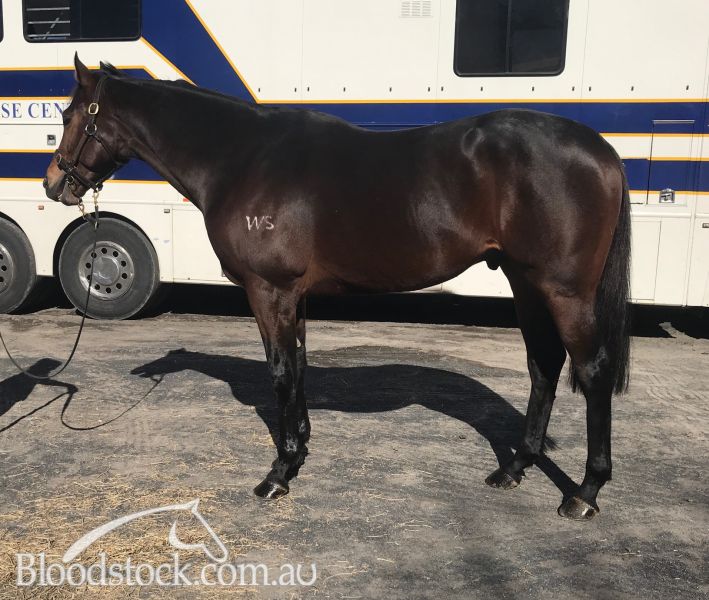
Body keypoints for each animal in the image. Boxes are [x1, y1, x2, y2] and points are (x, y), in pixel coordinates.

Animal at [44, 55, 631, 520]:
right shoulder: (294, 295)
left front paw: (278, 473)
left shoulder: (270, 290)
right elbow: (299, 367)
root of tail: (601, 152)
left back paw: (585, 492)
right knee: (543, 366)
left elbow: (281, 373)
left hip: (564, 291)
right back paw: (515, 467)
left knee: (592, 372)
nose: (54, 185)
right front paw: (299, 450)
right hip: (525, 282)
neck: (241, 158)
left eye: (70, 117)